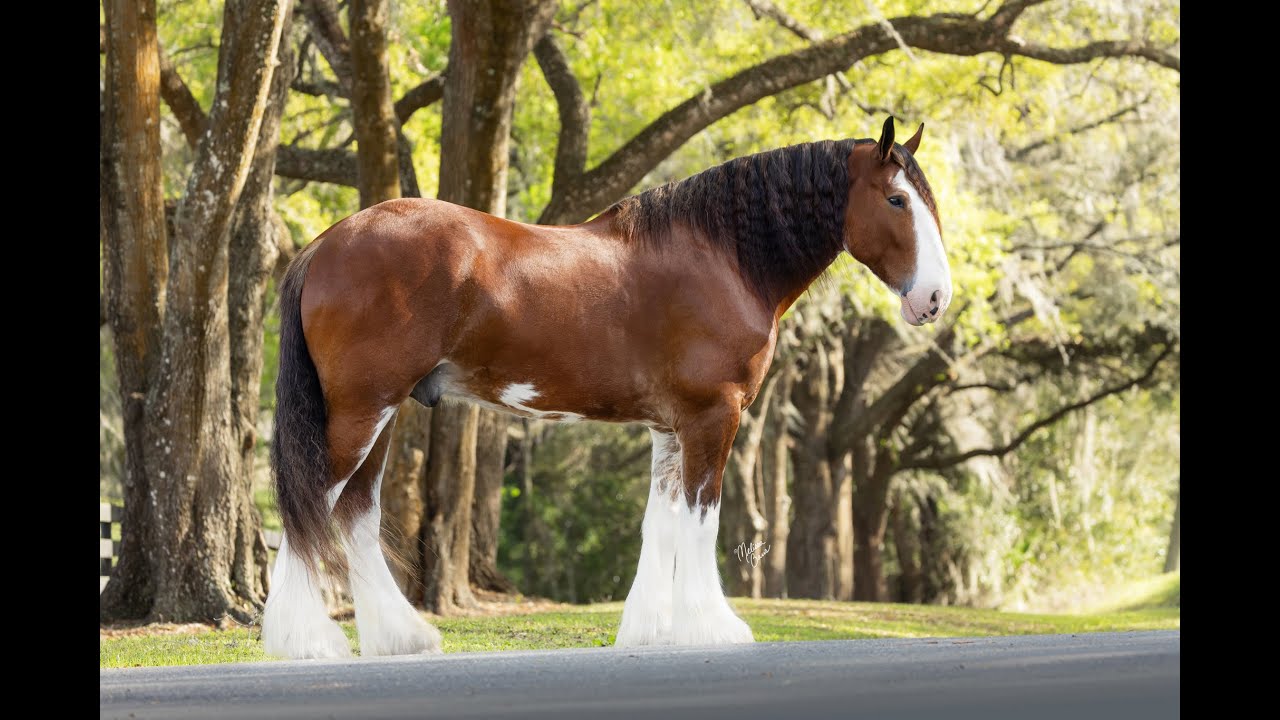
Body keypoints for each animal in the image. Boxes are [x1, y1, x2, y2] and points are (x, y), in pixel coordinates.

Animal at [262, 116, 952, 658]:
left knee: (355, 512)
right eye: (897, 200)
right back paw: (309, 641)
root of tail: (327, 244)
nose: (935, 298)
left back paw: (401, 637)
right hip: (359, 412)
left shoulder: (669, 428)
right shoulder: (712, 417)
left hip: (381, 413)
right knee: (312, 506)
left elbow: (662, 522)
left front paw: (651, 630)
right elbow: (702, 518)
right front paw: (712, 628)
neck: (722, 257)